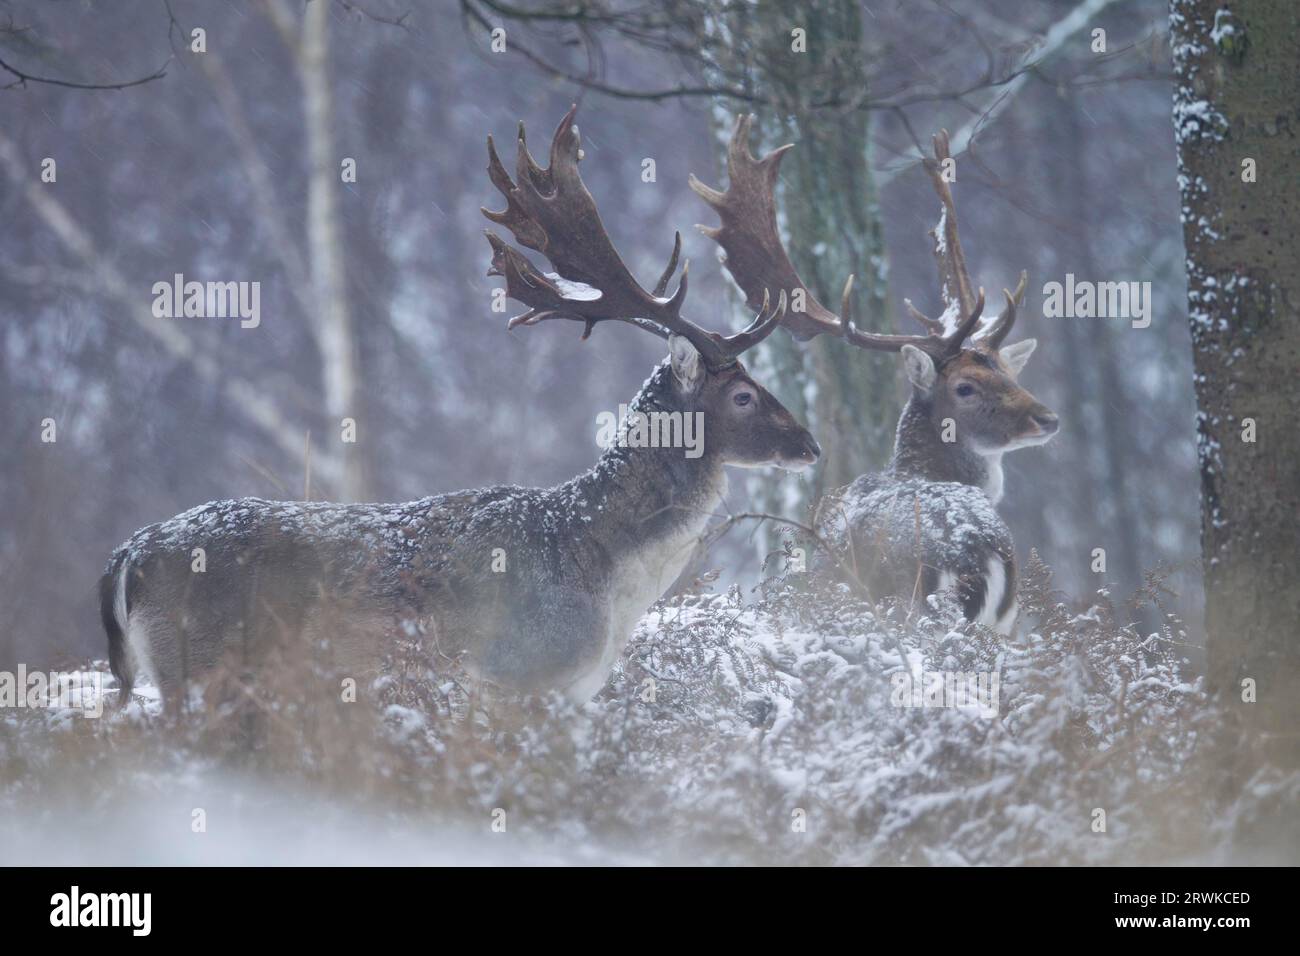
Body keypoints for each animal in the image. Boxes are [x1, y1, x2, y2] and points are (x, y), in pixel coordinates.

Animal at [99, 107, 820, 710]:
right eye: (743, 395)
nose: (811, 445)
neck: (602, 571)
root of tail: (127, 556)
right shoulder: (512, 673)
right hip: (199, 666)